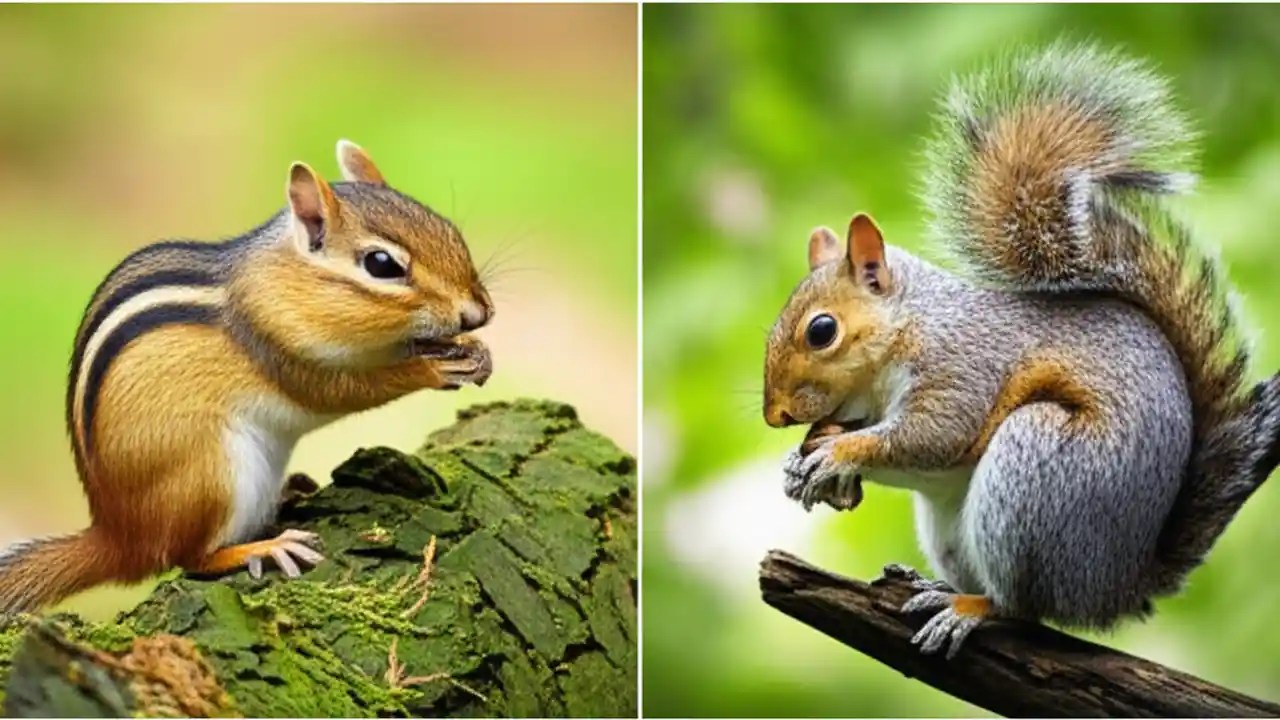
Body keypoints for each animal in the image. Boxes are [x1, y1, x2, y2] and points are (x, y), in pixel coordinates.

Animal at [0, 139, 495, 617]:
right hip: (214, 477)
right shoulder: (277, 348)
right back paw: (264, 547)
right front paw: (431, 367)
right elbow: (343, 390)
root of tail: (118, 535)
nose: (479, 312)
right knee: (189, 557)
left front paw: (476, 352)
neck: (287, 281)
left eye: (449, 230)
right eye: (381, 264)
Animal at [764, 44, 1280, 658]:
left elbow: (932, 436)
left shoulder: (963, 365)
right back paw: (937, 587)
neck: (912, 327)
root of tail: (1113, 588)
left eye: (822, 331)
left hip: (1036, 470)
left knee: (1024, 608)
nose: (775, 416)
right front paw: (800, 466)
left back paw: (971, 609)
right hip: (951, 527)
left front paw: (836, 454)